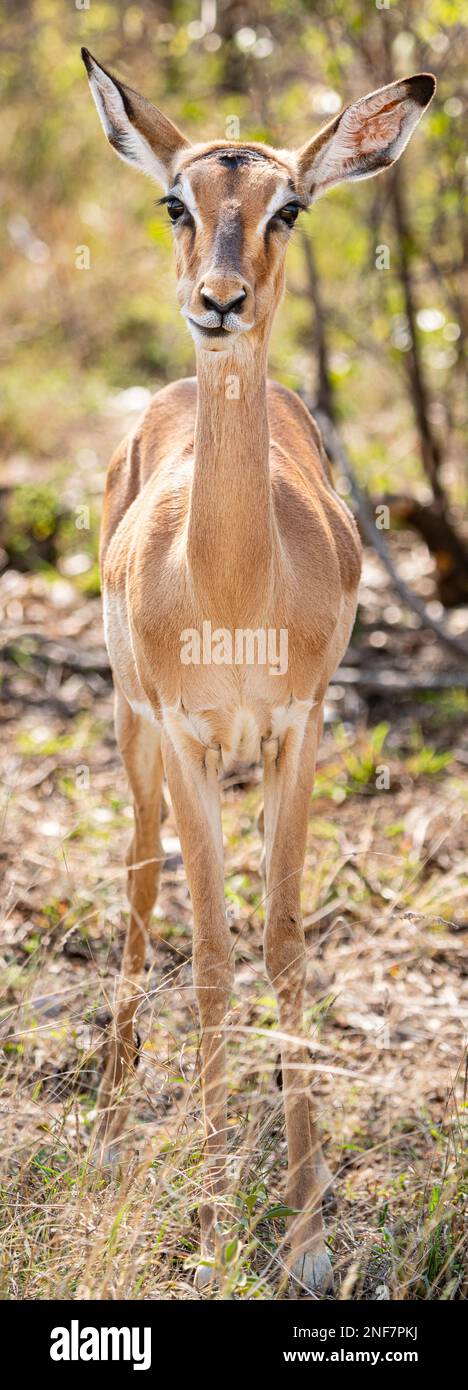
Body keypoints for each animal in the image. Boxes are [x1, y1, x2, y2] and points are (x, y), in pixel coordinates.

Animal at [82, 48, 435, 1294]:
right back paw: (120, 1129)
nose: (220, 301)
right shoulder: (186, 738)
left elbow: (281, 944)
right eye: (174, 202)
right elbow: (212, 960)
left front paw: (308, 1227)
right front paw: (191, 1209)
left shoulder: (301, 726)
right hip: (131, 731)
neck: (234, 588)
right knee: (142, 885)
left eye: (289, 206)